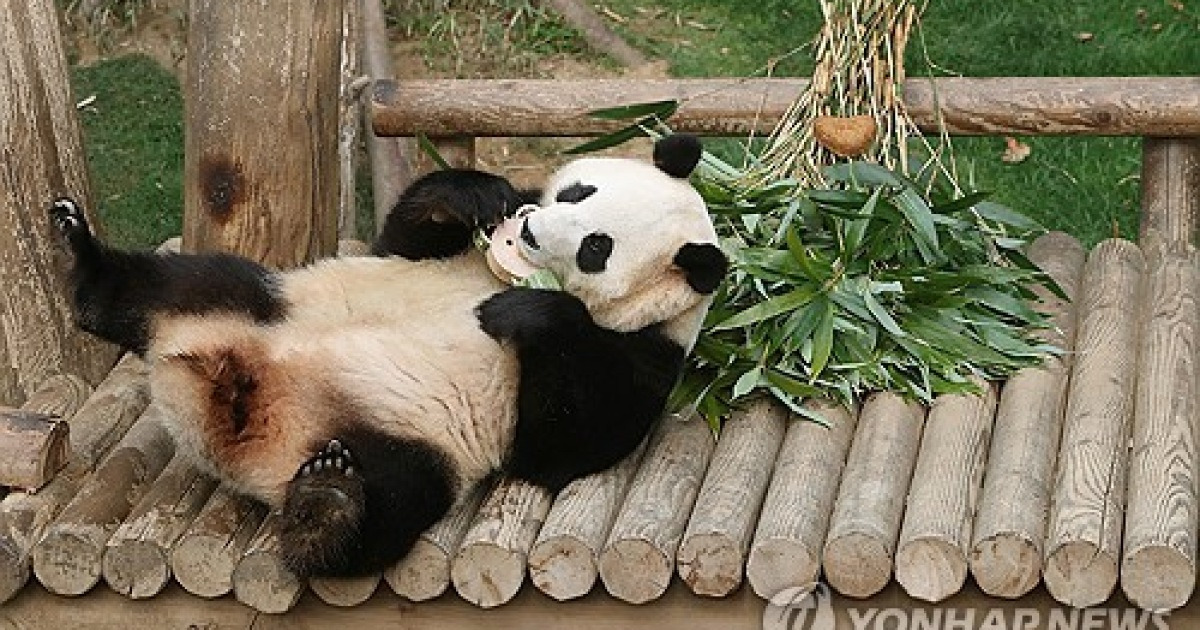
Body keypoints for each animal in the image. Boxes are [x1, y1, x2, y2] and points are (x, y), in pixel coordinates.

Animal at [50, 134, 727, 577]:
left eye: (596, 248)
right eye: (582, 191)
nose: (532, 231)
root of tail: (232, 418)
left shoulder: (643, 358)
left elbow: (557, 446)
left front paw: (522, 315)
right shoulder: (434, 250)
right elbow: (403, 234)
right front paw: (480, 196)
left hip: (402, 440)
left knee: (394, 502)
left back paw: (326, 510)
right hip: (272, 302)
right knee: (190, 284)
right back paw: (77, 258)